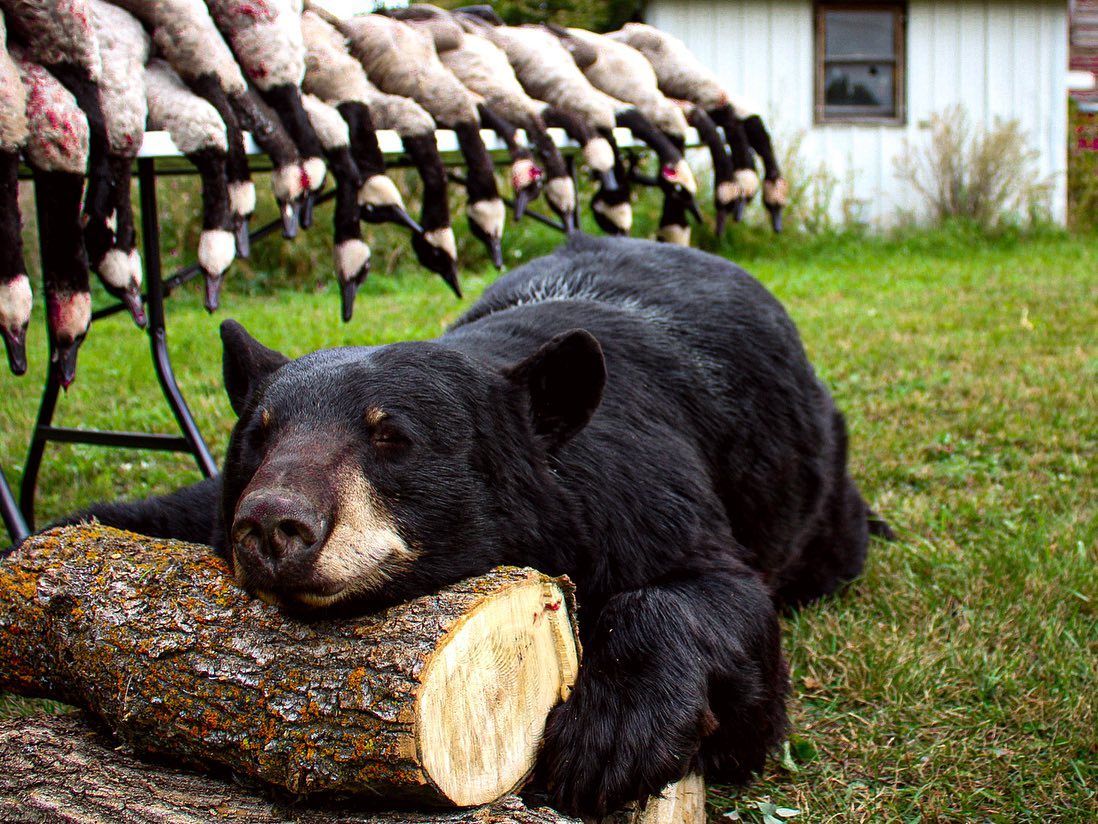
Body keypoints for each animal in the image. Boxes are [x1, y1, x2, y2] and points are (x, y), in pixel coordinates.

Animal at [58, 235, 887, 817]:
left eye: (392, 436)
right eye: (257, 436)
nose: (271, 526)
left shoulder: (639, 484)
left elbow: (724, 606)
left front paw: (609, 736)